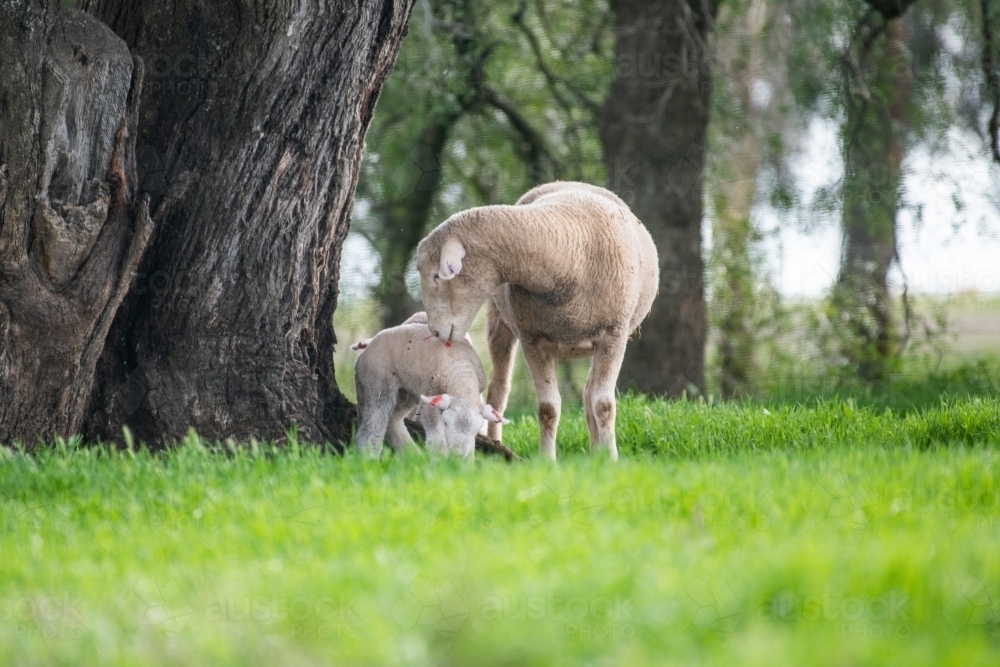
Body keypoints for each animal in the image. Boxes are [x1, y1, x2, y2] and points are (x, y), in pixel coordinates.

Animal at [352, 314, 507, 459]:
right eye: (446, 423)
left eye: (476, 430)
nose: (458, 455)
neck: (463, 379)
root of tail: (362, 356)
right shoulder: (430, 396)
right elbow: (436, 434)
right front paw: (441, 460)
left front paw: (466, 463)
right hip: (378, 382)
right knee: (372, 427)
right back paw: (369, 459)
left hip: (405, 391)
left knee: (392, 421)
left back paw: (412, 454)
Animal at [415, 181, 658, 461]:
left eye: (437, 276)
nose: (435, 332)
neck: (569, 251)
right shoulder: (532, 339)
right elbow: (547, 408)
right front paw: (547, 461)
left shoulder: (614, 335)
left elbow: (604, 405)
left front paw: (610, 459)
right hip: (500, 322)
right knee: (499, 392)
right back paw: (496, 444)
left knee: (589, 394)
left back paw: (597, 452)